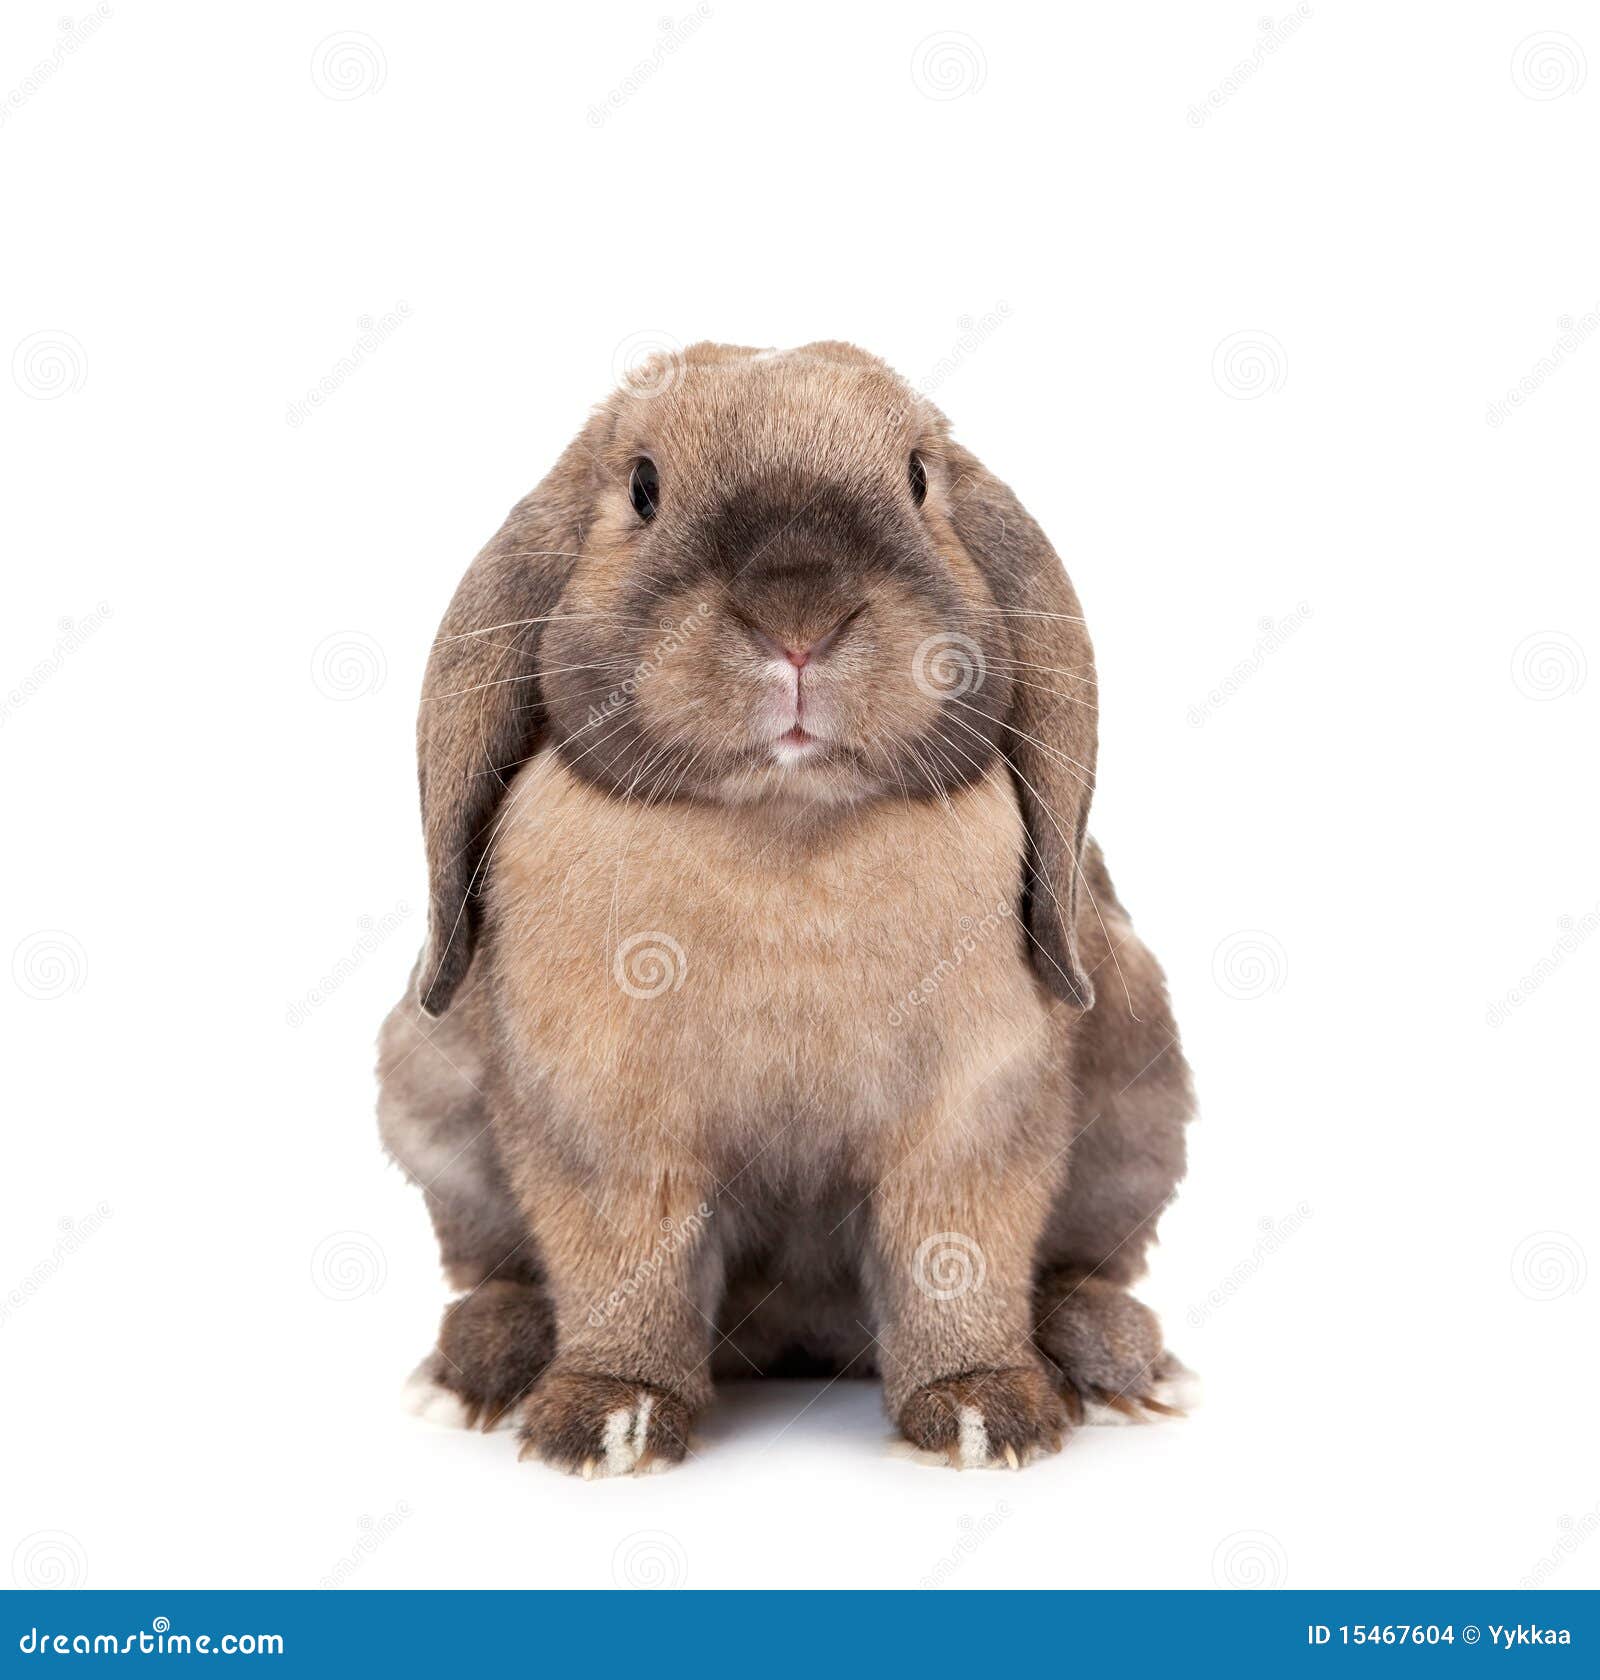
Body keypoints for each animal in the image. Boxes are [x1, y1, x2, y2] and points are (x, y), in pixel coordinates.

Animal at [377, 340, 1195, 1475]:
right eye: (642, 487)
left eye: (917, 478)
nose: (798, 617)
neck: (785, 824)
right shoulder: (604, 1124)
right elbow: (621, 1261)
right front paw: (608, 1419)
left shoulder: (972, 1115)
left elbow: (958, 1256)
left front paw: (983, 1412)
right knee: (505, 1270)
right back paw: (478, 1369)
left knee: (1083, 1268)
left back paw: (1112, 1364)